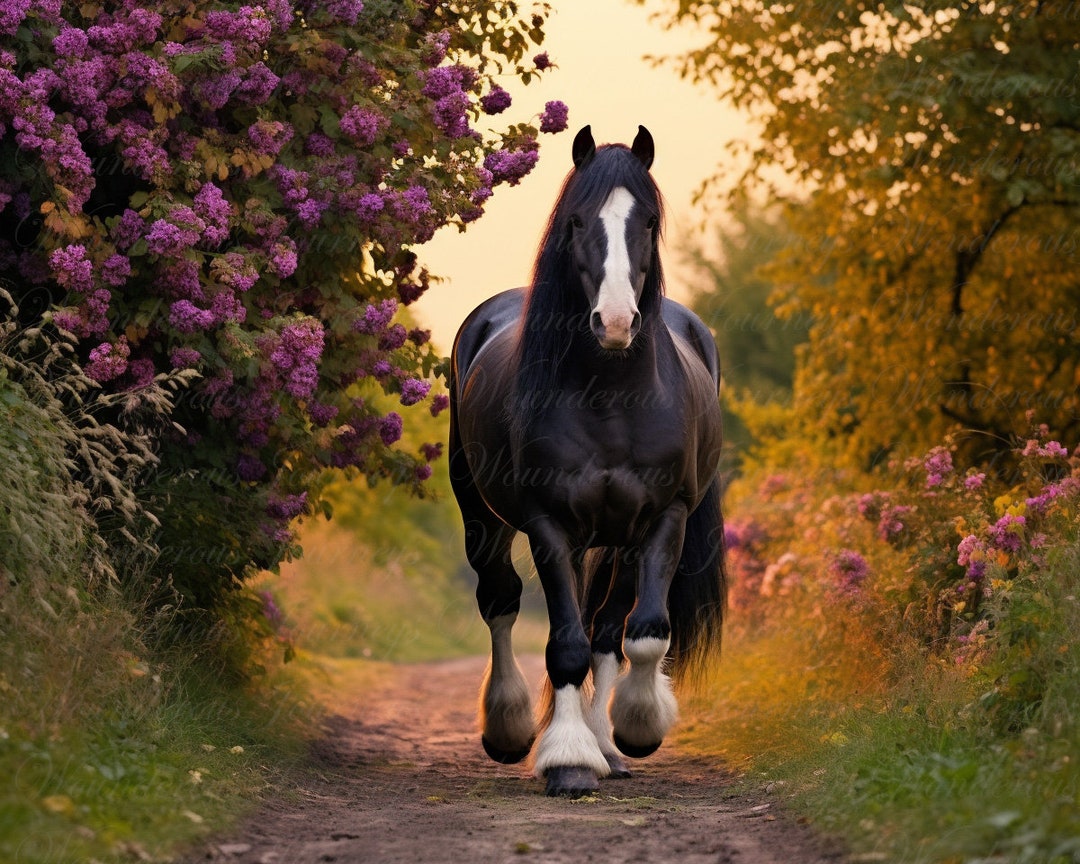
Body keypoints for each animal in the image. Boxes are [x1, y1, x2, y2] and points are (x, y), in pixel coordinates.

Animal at [448, 125, 726, 798]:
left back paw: (607, 745)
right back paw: (511, 728)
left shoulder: (663, 518)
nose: (617, 321)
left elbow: (642, 631)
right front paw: (568, 761)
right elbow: (563, 645)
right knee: (501, 601)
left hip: (618, 538)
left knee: (606, 626)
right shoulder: (548, 524)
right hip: (483, 516)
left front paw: (637, 727)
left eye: (649, 221)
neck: (612, 399)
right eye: (576, 220)